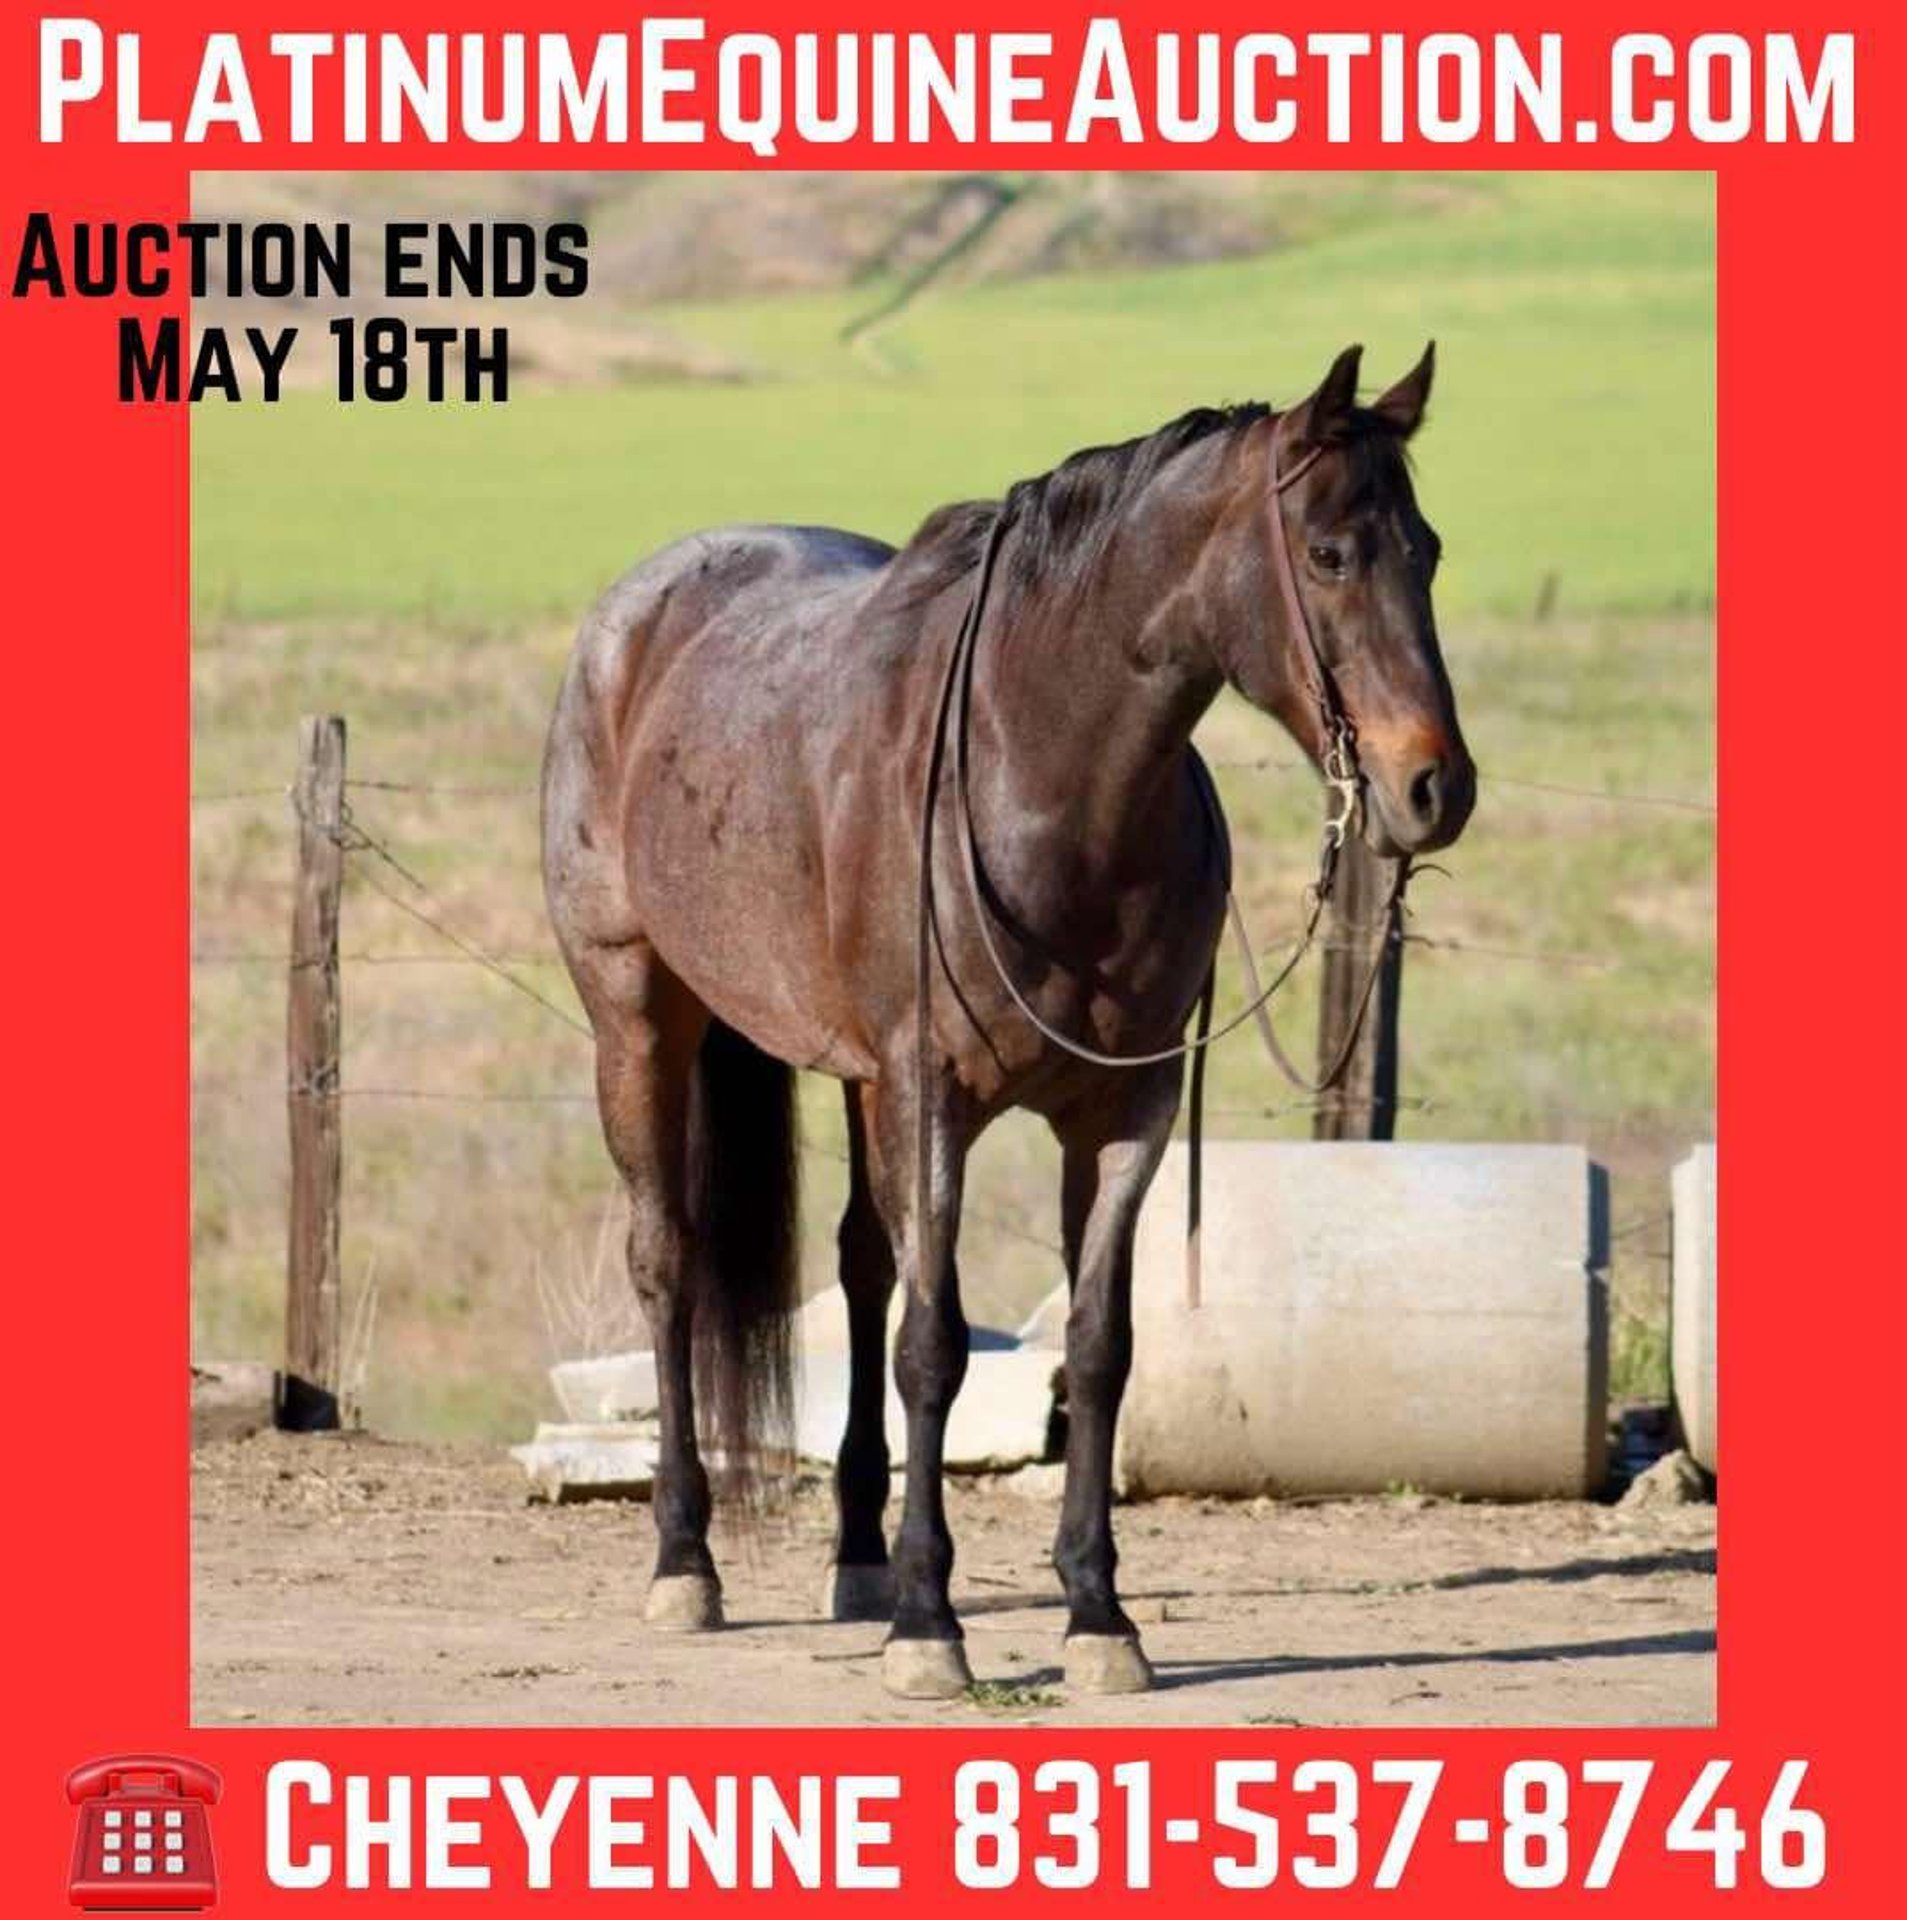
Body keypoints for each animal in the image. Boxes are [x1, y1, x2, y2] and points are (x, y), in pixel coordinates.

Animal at [541, 342, 1476, 1700]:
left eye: (1428, 549)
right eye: (1327, 552)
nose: (1432, 787)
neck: (1042, 781)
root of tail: (636, 614)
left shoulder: (1122, 1112)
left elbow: (1094, 1348)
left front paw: (1095, 1614)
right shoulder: (933, 1098)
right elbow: (933, 1346)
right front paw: (930, 1625)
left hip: (852, 1078)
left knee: (859, 1269)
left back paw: (859, 1558)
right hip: (638, 1019)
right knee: (668, 1263)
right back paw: (686, 1561)